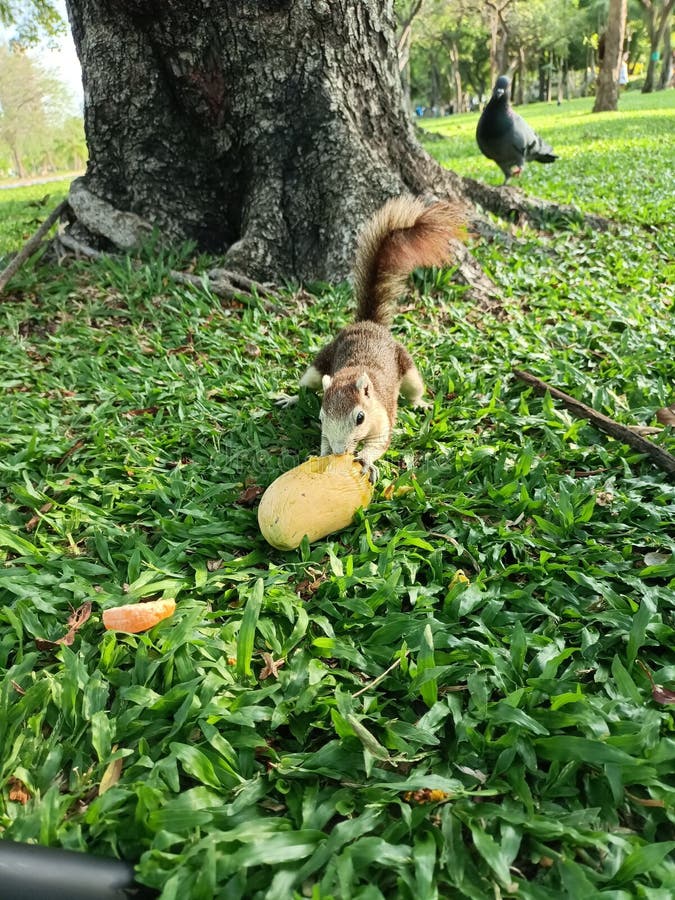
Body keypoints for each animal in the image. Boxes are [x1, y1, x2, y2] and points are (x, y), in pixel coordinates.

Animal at [294, 194, 466, 482]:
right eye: (321, 416)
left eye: (360, 418)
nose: (340, 451)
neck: (353, 374)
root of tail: (369, 324)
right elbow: (324, 441)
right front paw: (324, 455)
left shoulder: (383, 417)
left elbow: (378, 443)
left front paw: (365, 459)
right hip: (321, 362)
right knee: (308, 382)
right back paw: (290, 398)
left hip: (407, 366)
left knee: (414, 388)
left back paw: (419, 403)